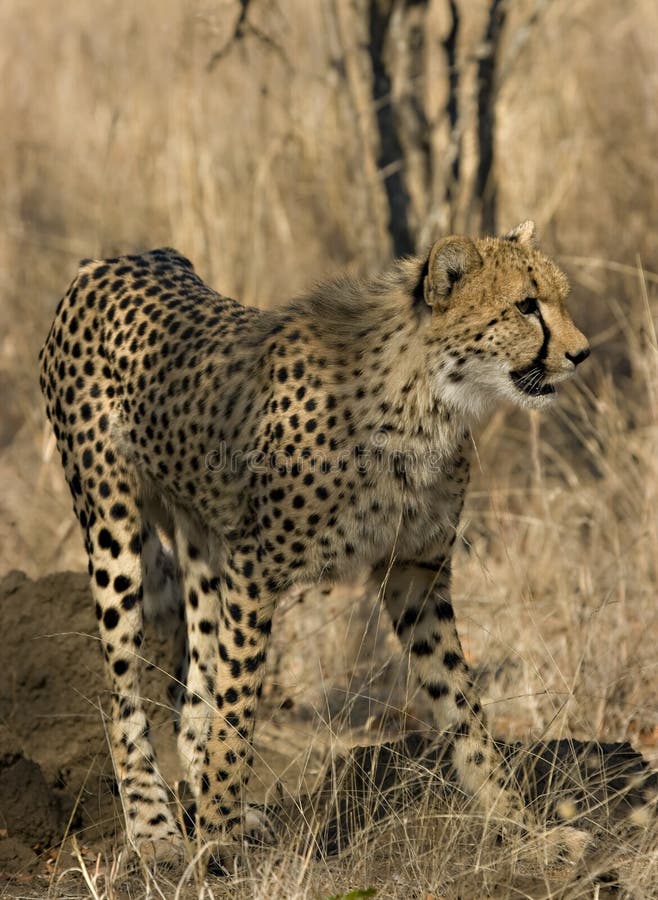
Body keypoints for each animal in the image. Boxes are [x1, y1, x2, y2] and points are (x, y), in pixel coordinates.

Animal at [39, 220, 592, 871]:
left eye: (559, 299)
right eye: (526, 306)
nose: (581, 353)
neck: (425, 396)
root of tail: (119, 258)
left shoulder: (415, 571)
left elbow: (463, 706)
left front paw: (522, 829)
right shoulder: (256, 570)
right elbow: (237, 708)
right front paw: (218, 840)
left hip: (204, 538)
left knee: (193, 690)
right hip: (112, 527)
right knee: (125, 693)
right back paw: (155, 828)